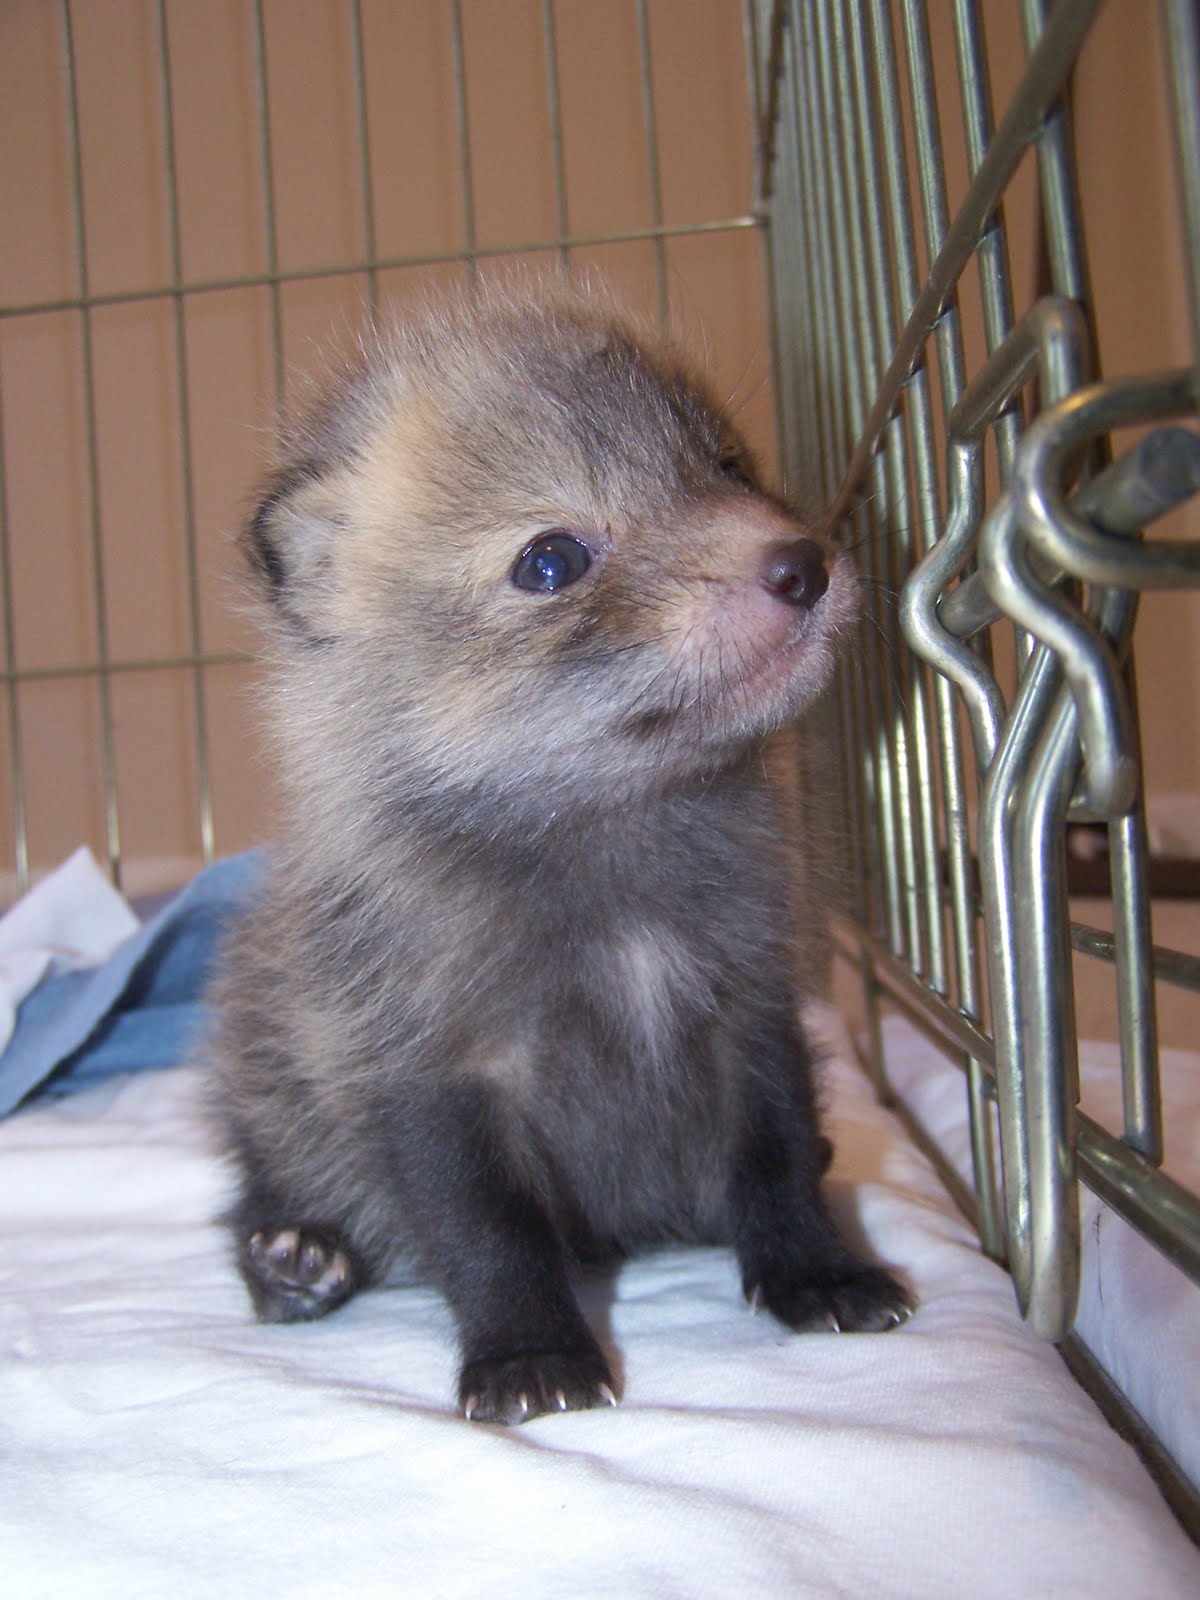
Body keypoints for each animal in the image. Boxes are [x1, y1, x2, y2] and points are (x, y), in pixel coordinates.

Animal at [210, 280, 912, 1425]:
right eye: (551, 560)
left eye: (725, 465)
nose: (801, 565)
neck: (611, 863)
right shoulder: (429, 1066)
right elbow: (489, 1231)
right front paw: (529, 1356)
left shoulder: (750, 1004)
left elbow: (775, 1165)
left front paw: (820, 1274)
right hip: (274, 1103)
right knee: (264, 1197)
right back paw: (297, 1261)